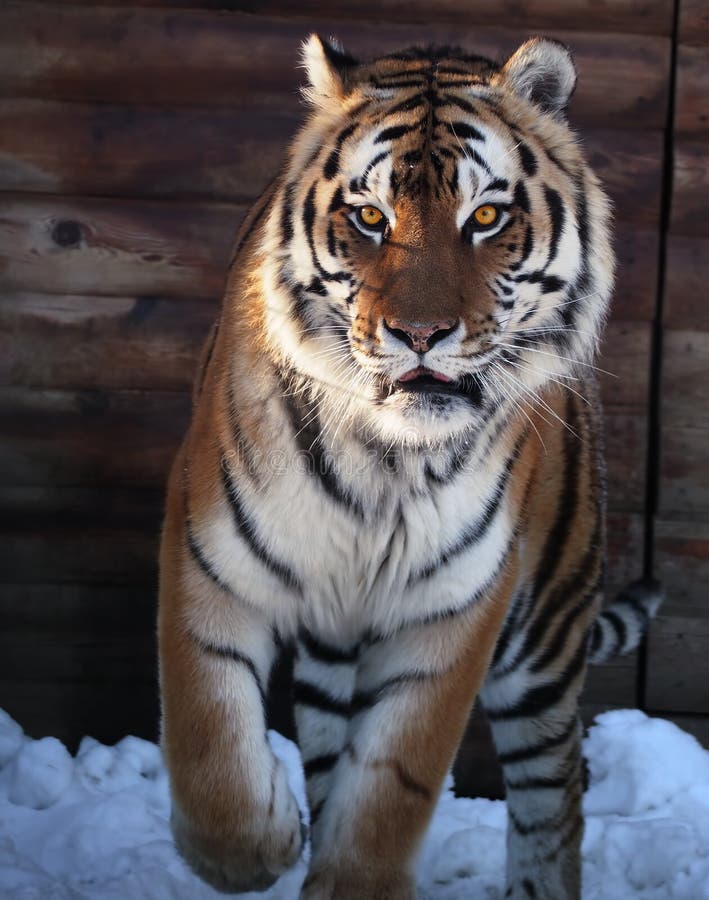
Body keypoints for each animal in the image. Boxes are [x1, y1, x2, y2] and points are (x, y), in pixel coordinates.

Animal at [158, 34, 662, 900]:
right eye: (369, 217)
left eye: (486, 216)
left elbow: (393, 784)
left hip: (544, 639)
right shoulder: (207, 556)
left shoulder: (455, 610)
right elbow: (205, 737)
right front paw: (256, 848)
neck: (387, 460)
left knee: (553, 797)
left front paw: (349, 876)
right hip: (331, 653)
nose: (420, 334)